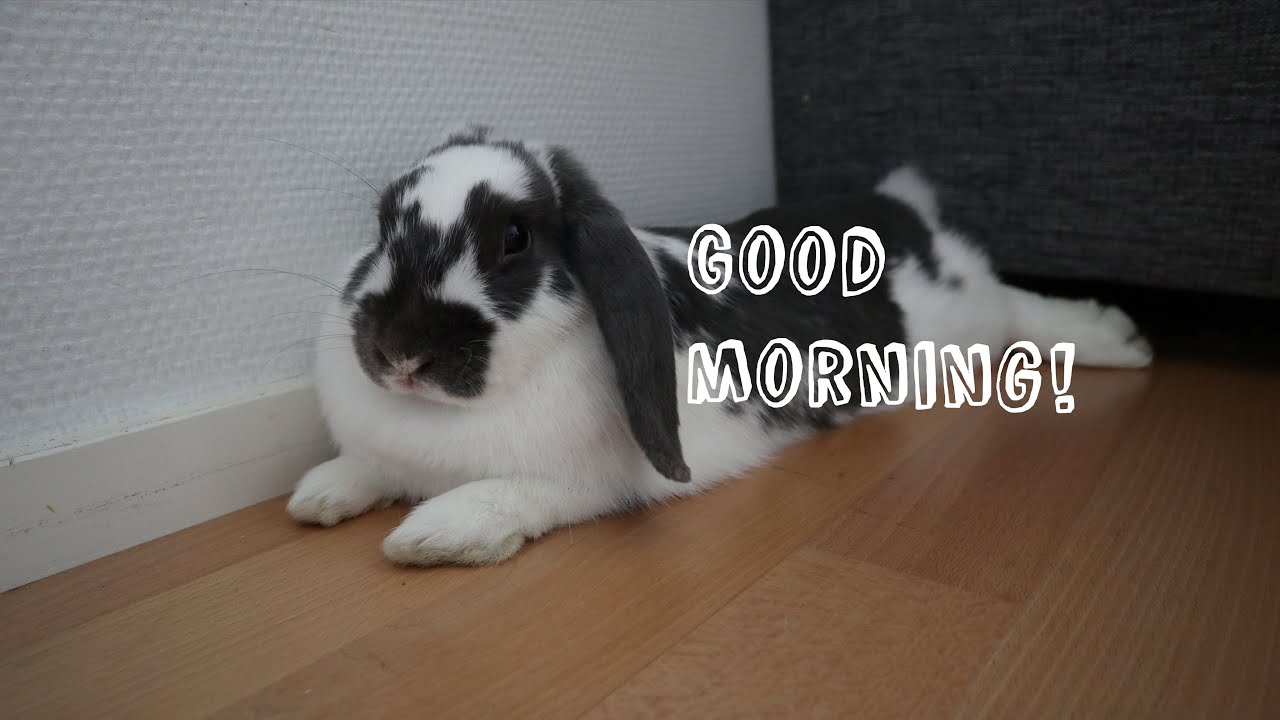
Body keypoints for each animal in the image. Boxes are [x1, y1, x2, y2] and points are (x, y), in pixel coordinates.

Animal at [286, 126, 1152, 566]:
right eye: (382, 226)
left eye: (515, 240)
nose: (401, 352)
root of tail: (903, 212)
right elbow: (365, 468)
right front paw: (320, 493)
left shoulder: (582, 482)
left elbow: (511, 495)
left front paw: (435, 534)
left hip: (964, 323)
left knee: (1015, 311)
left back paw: (1118, 339)